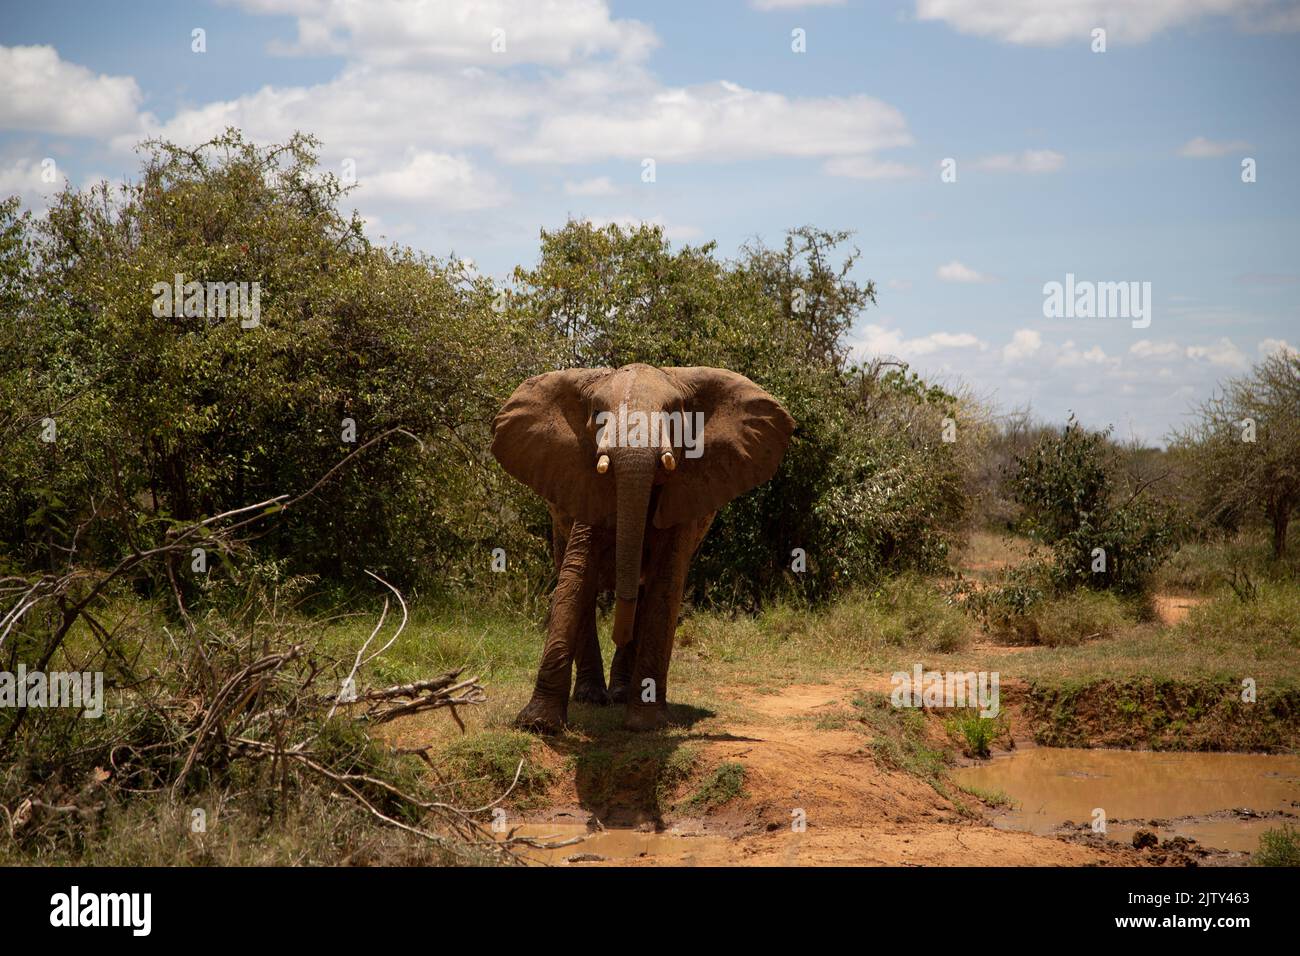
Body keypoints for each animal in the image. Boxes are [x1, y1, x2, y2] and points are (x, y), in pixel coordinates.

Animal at [491, 363, 795, 732]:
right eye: (597, 413)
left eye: (674, 414)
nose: (618, 635)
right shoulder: (584, 481)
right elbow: (576, 574)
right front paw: (538, 725)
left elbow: (665, 583)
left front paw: (646, 725)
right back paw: (592, 698)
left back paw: (621, 694)